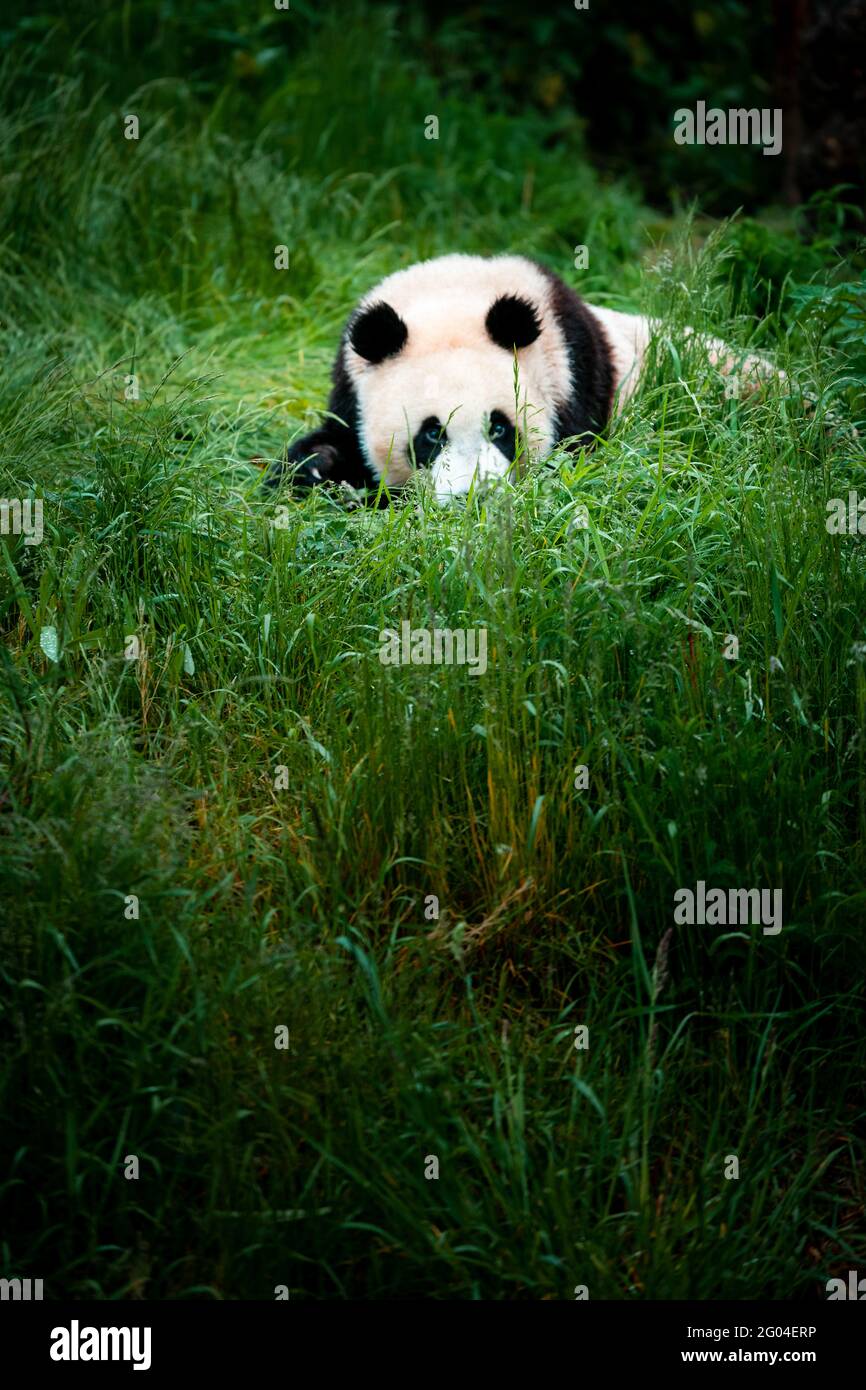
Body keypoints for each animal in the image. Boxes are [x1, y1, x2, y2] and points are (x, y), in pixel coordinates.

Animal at [265, 253, 775, 501]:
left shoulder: (572, 374)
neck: (452, 299)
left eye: (499, 427)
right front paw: (317, 473)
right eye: (431, 434)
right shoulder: (351, 387)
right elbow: (331, 445)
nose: (473, 498)